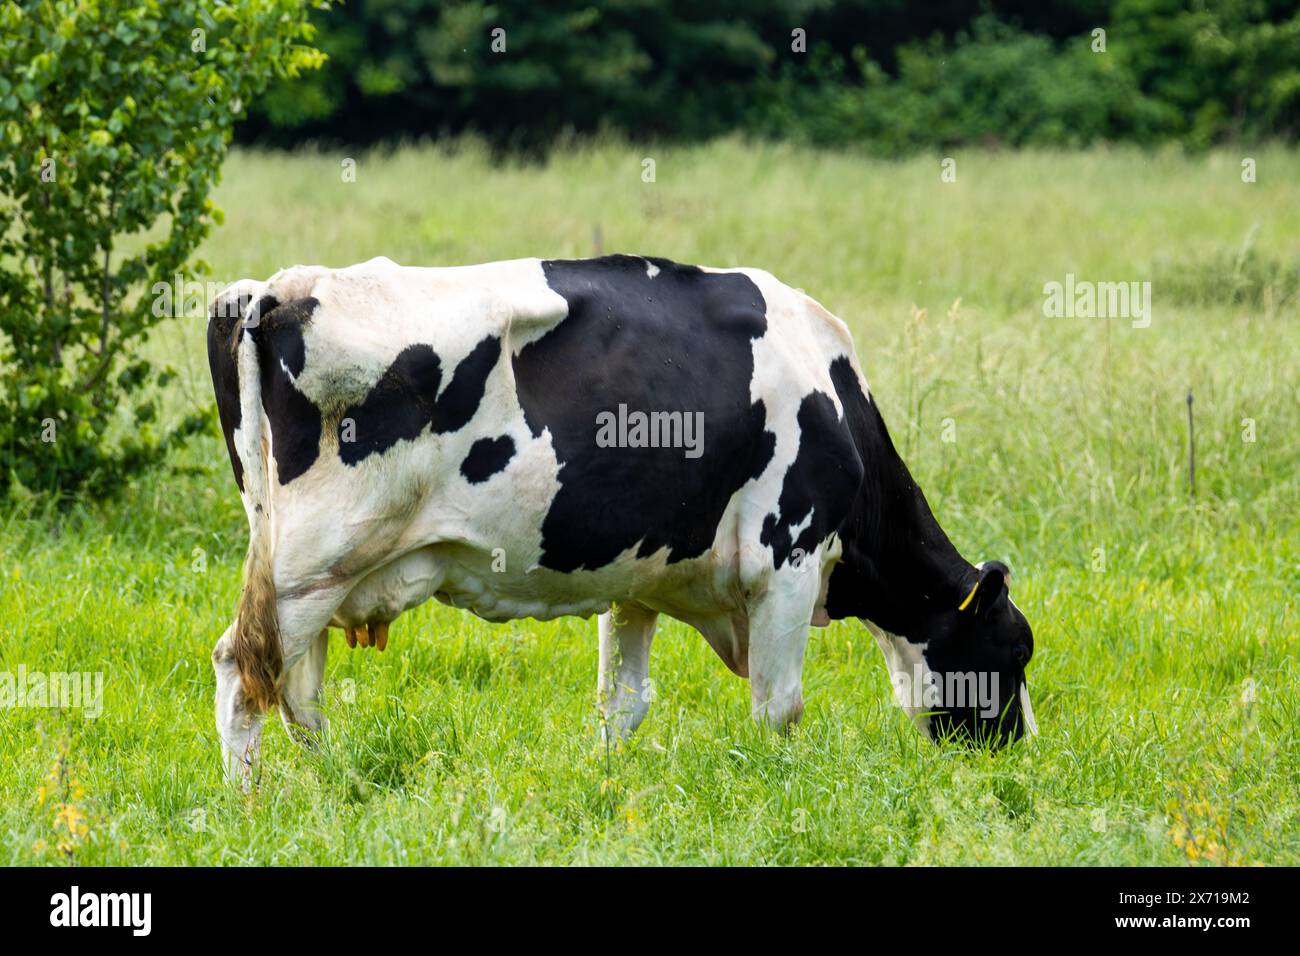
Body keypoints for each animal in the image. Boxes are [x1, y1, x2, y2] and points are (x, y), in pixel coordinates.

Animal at [207, 254, 1036, 782]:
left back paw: (333, 785)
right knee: (243, 670)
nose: (1021, 748)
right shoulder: (788, 558)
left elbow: (622, 705)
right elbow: (779, 707)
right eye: (1015, 650)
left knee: (299, 693)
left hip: (310, 571)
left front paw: (603, 780)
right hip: (311, 565)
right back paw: (250, 803)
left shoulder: (639, 578)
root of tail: (273, 290)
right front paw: (778, 789)